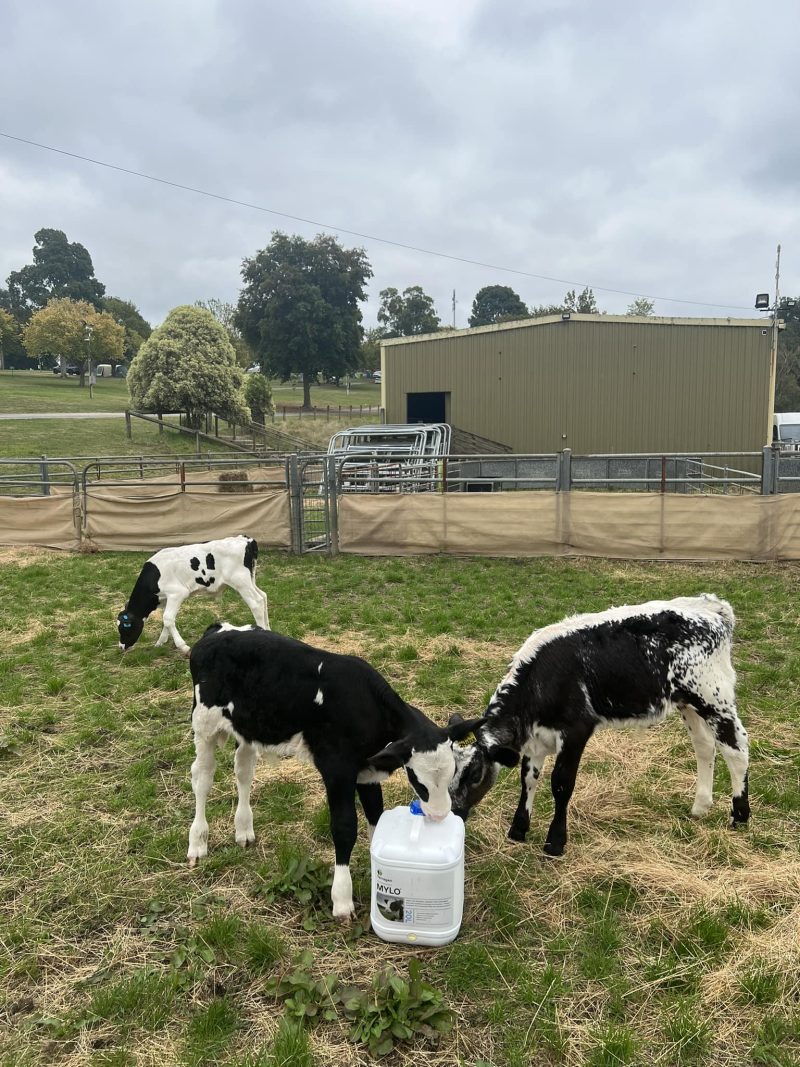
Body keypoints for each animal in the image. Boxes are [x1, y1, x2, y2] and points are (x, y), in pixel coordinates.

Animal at [116, 535, 269, 654]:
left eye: (124, 627)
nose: (121, 646)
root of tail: (246, 540)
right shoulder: (166, 598)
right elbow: (166, 620)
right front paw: (160, 641)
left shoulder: (177, 593)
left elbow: (167, 618)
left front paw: (182, 646)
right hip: (250, 580)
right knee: (263, 596)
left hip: (240, 582)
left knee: (256, 603)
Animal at [186, 623, 484, 920]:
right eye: (420, 782)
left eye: (452, 774)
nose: (439, 815)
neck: (366, 707)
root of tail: (217, 631)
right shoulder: (337, 770)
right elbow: (344, 827)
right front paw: (342, 900)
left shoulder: (367, 772)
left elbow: (376, 816)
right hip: (203, 725)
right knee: (202, 777)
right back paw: (198, 843)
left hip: (248, 728)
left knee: (243, 770)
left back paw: (243, 830)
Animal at [449, 595, 750, 856]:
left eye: (475, 774)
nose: (455, 813)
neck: (539, 681)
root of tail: (712, 606)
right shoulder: (536, 739)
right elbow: (529, 778)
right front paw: (518, 829)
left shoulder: (576, 731)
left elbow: (561, 783)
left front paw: (555, 842)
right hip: (687, 702)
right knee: (705, 745)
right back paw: (699, 807)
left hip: (713, 696)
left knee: (736, 748)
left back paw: (740, 816)